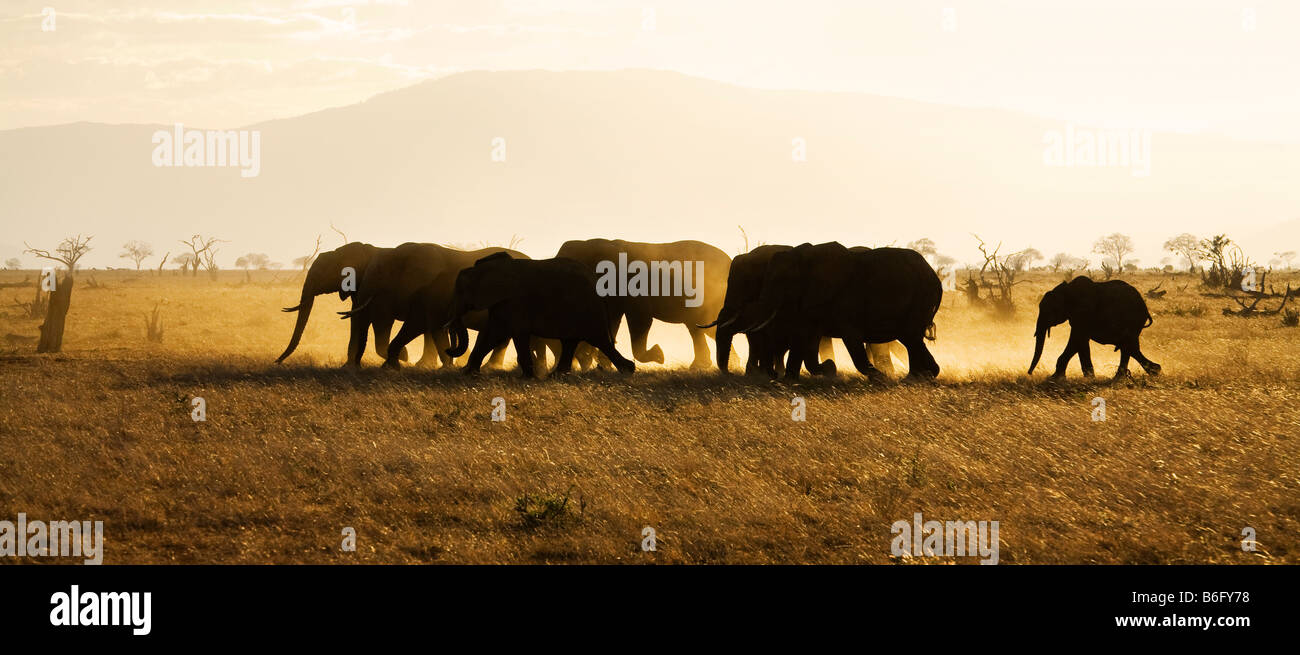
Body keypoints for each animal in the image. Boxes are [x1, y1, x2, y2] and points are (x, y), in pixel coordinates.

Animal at [444, 253, 636, 378]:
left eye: (460, 292)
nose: (448, 350)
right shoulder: (503, 303)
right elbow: (493, 334)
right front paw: (469, 373)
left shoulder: (515, 302)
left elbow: (514, 334)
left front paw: (527, 378)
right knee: (572, 342)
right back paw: (556, 376)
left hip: (588, 310)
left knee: (598, 340)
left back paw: (628, 370)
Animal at [733, 242, 941, 380]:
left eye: (780, 281)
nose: (773, 376)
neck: (805, 255)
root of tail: (935, 277)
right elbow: (806, 338)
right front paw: (817, 372)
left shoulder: (846, 299)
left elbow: (851, 338)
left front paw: (879, 377)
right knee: (911, 339)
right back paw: (922, 376)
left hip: (921, 297)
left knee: (911, 337)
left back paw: (919, 377)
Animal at [1027, 276, 1161, 380]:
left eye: (1048, 311)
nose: (1030, 373)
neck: (1067, 291)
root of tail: (1145, 308)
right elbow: (1080, 342)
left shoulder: (1084, 313)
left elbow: (1077, 340)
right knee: (1129, 346)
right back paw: (1153, 371)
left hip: (1133, 319)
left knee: (1128, 345)